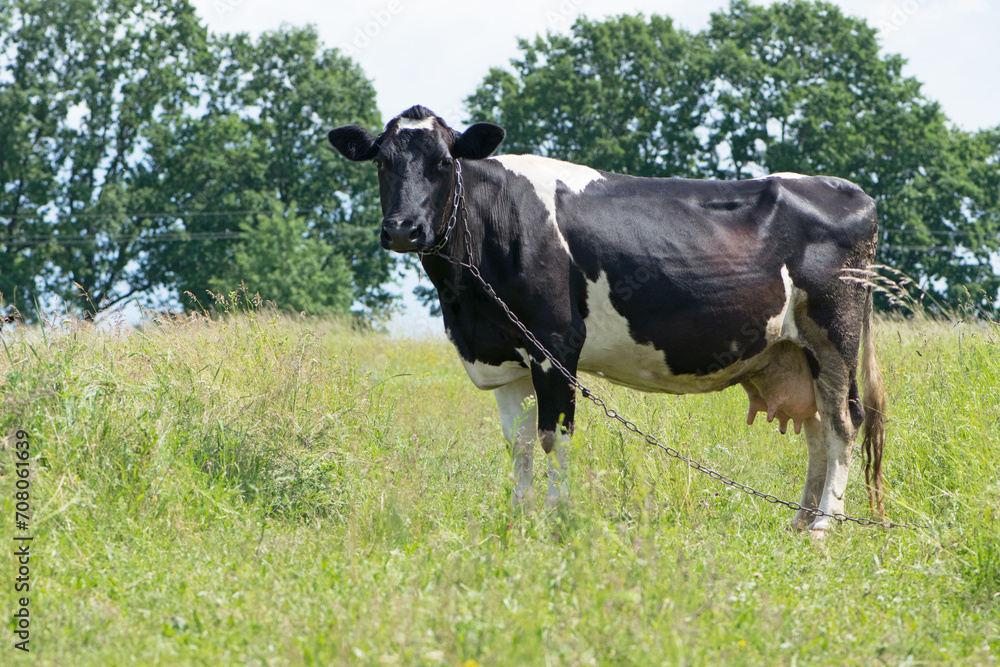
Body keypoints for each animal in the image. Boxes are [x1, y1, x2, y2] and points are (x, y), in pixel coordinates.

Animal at [328, 105, 887, 533]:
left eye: (444, 162)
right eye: (382, 162)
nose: (404, 229)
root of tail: (852, 191)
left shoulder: (554, 346)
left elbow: (555, 438)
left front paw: (555, 518)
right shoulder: (504, 358)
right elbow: (520, 446)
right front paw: (518, 518)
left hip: (834, 334)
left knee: (844, 423)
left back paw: (824, 526)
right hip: (794, 351)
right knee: (817, 428)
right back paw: (799, 520)